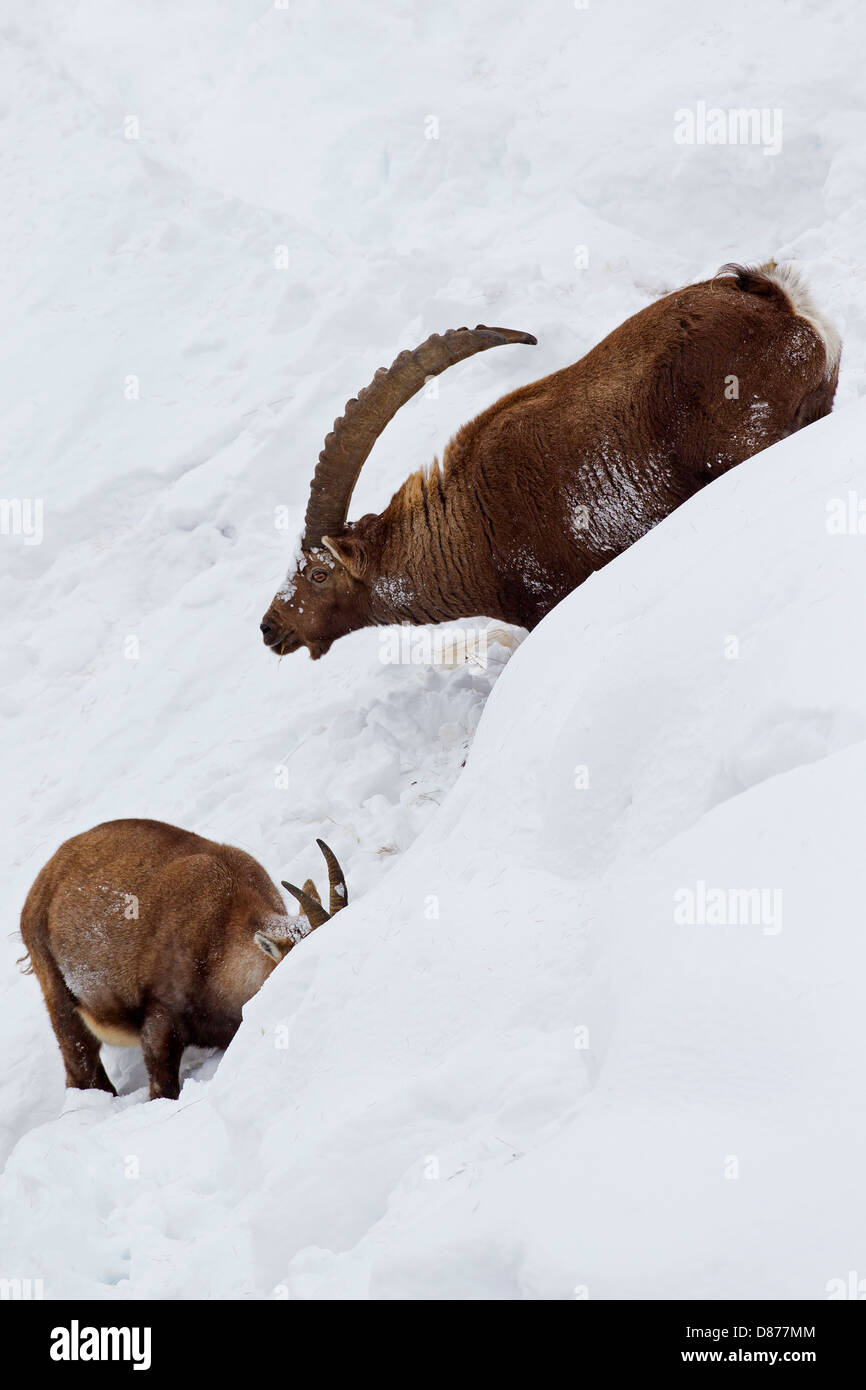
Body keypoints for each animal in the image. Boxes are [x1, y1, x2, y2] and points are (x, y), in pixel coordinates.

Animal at [260, 263, 840, 659]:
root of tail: (776, 300)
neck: (471, 527)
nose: (269, 627)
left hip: (748, 440)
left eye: (318, 574)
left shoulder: (548, 595)